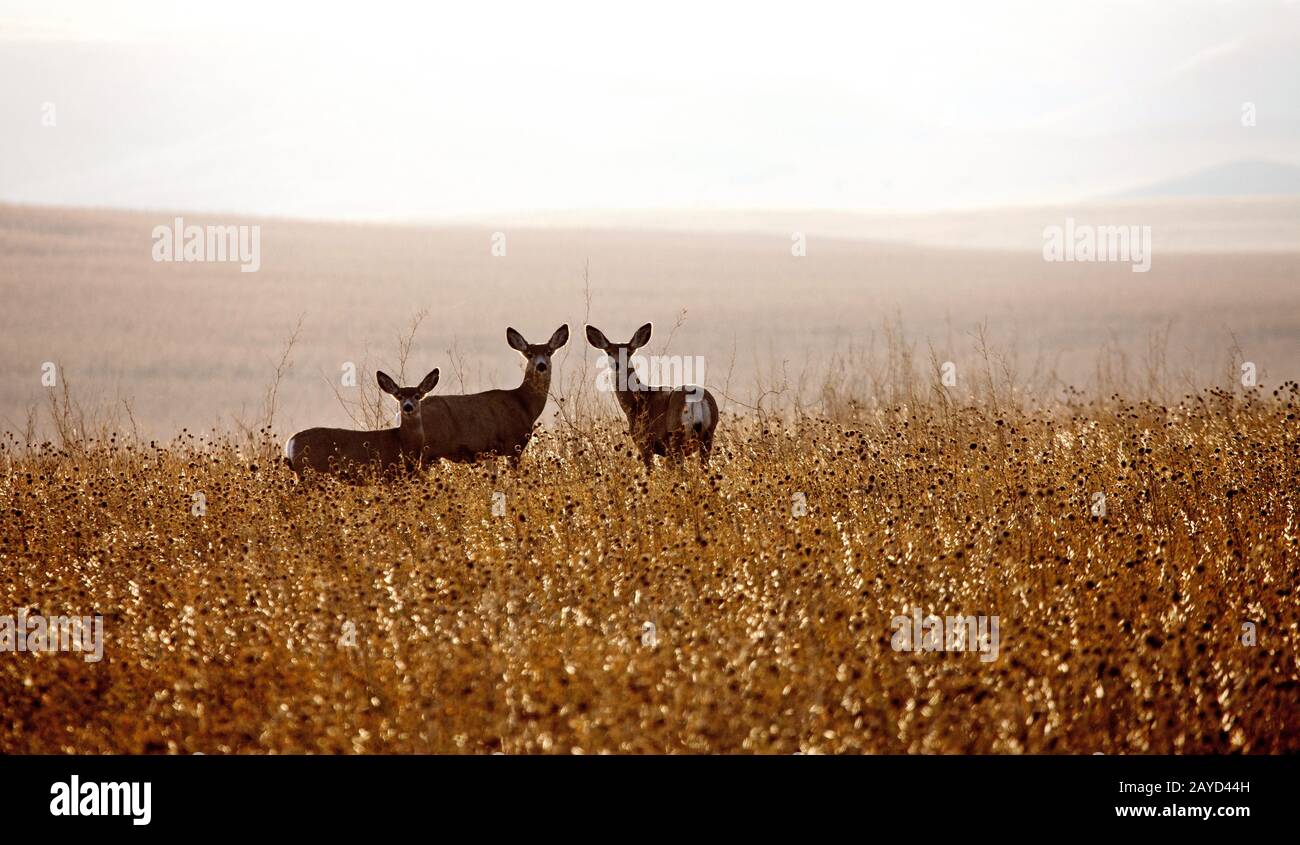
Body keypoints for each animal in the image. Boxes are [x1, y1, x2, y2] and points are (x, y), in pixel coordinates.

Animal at [283, 368, 440, 481]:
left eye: (417, 396)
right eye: (399, 396)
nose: (408, 407)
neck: (402, 441)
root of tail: (291, 441)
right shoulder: (387, 472)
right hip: (309, 472)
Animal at [419, 325, 568, 465]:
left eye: (548, 352)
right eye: (529, 354)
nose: (541, 366)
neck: (524, 404)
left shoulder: (490, 452)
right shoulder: (513, 443)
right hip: (430, 449)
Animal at [585, 322, 718, 469]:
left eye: (628, 352)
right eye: (609, 352)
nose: (617, 364)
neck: (637, 402)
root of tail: (696, 399)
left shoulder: (644, 441)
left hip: (675, 434)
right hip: (708, 435)